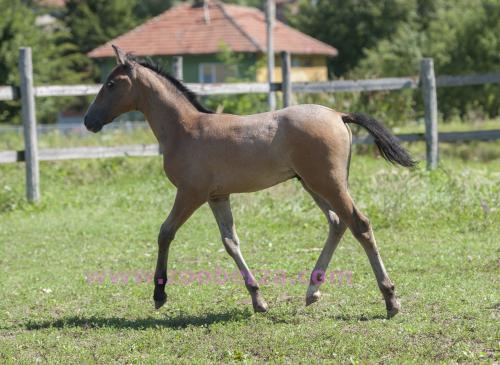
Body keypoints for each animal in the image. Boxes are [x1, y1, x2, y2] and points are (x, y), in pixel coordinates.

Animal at [85, 46, 414, 318]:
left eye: (111, 84)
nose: (89, 121)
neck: (185, 129)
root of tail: (338, 114)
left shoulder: (191, 193)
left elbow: (165, 233)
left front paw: (159, 294)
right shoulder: (217, 196)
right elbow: (230, 242)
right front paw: (258, 300)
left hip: (328, 182)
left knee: (360, 224)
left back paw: (390, 300)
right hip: (313, 184)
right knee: (337, 223)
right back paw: (312, 291)